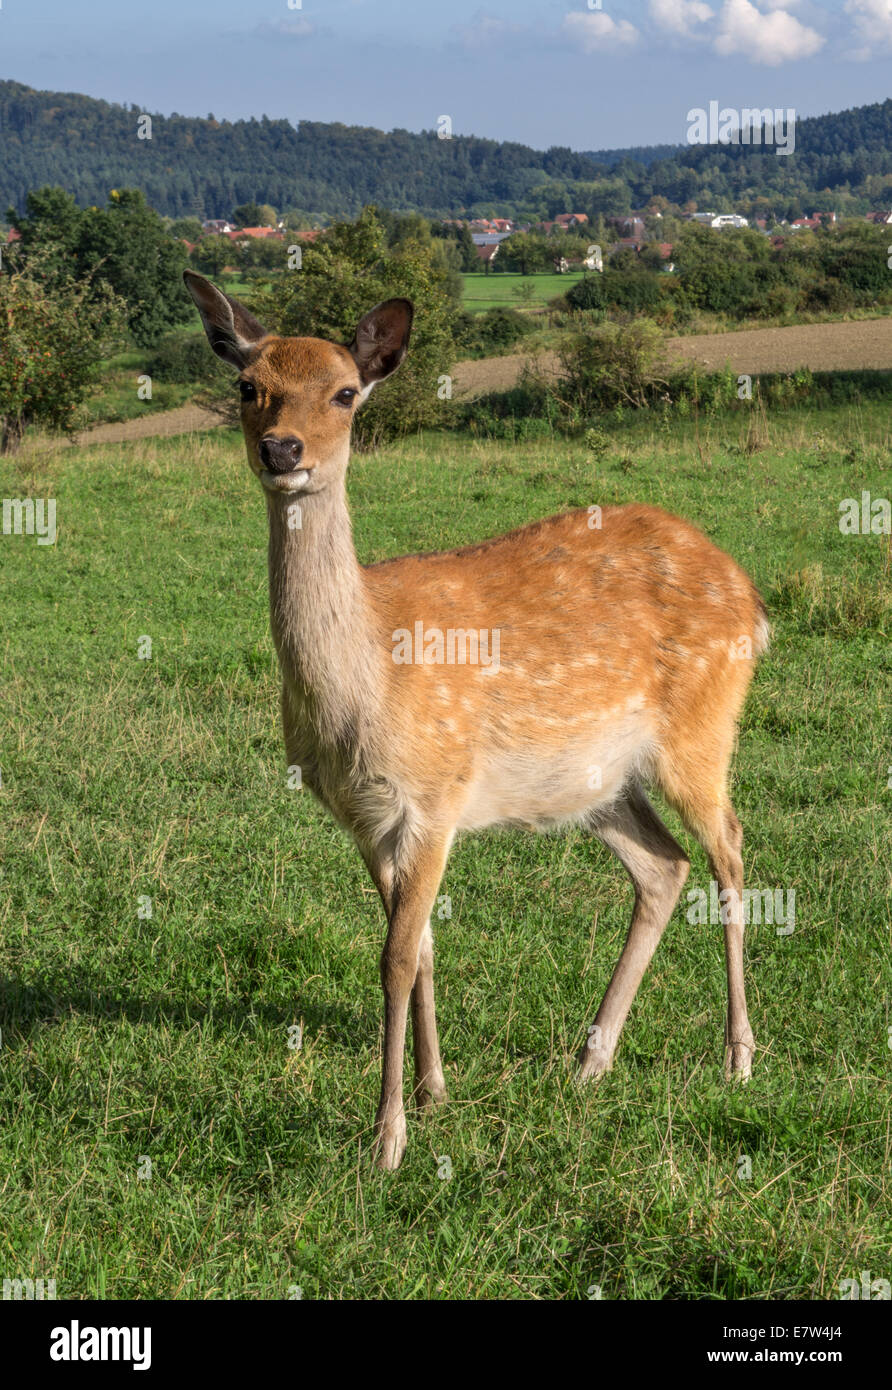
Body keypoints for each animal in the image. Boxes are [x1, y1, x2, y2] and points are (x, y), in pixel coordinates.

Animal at [183, 270, 770, 1171]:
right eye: (249, 385)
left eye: (345, 392)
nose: (283, 450)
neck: (366, 688)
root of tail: (751, 595)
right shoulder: (365, 816)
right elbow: (418, 944)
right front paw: (433, 1091)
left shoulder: (436, 794)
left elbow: (393, 956)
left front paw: (386, 1137)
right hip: (597, 780)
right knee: (662, 866)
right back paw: (589, 1061)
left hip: (702, 730)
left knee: (730, 852)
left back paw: (737, 1057)